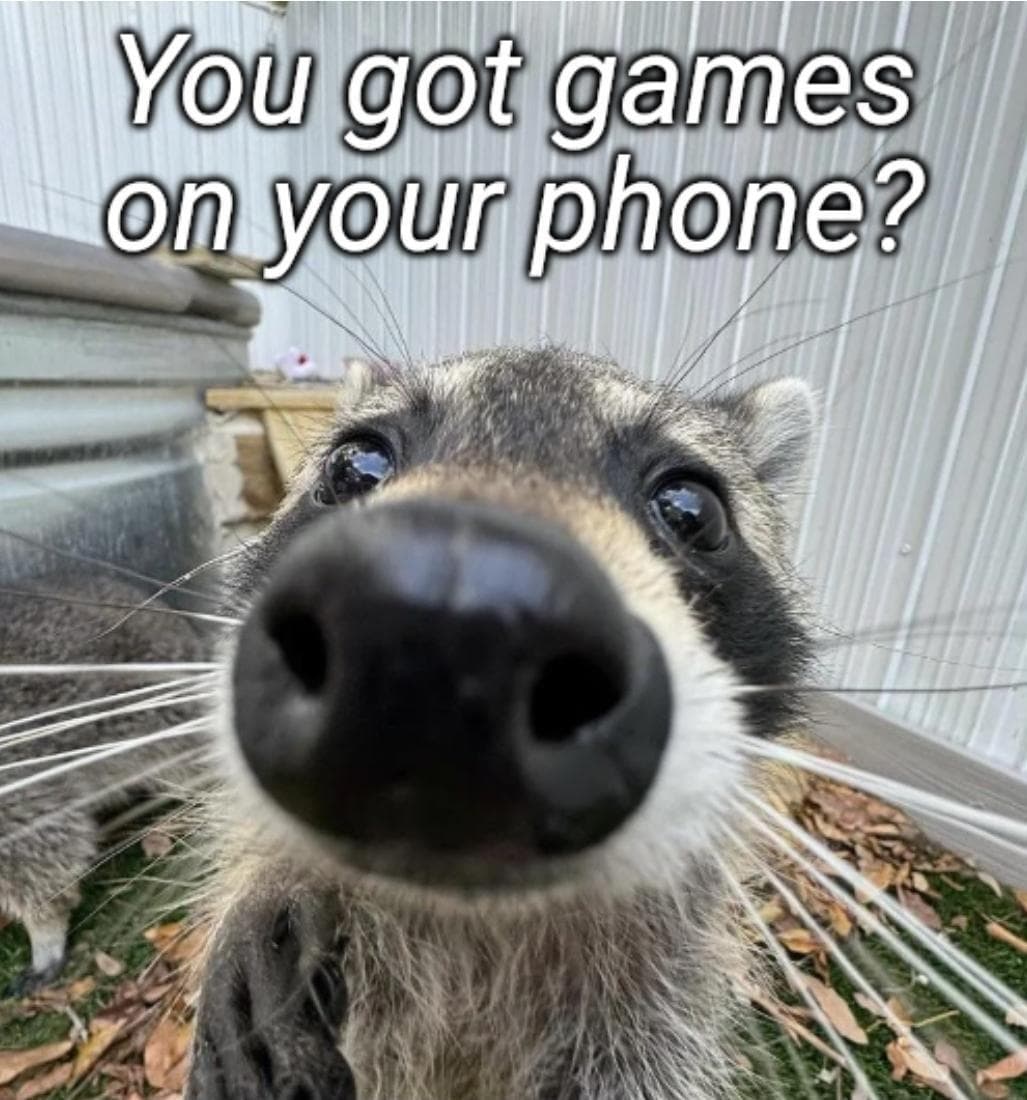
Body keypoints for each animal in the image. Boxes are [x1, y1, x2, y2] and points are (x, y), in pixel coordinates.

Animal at [188, 346, 814, 1100]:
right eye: (355, 466)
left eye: (691, 511)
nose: (446, 630)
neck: (467, 917)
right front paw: (273, 877)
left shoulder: (651, 1008)